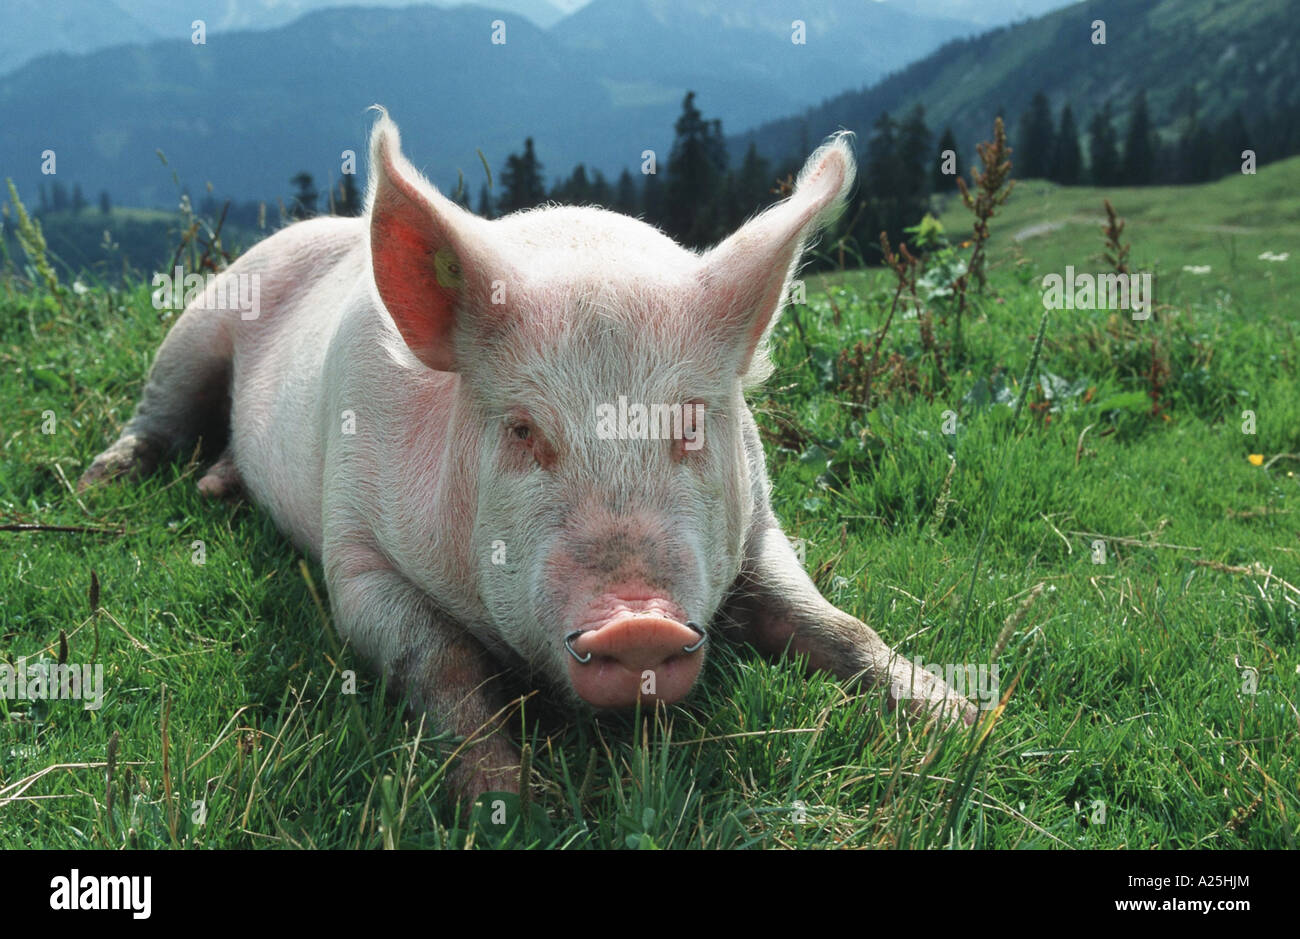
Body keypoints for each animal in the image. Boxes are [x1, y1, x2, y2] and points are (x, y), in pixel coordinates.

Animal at [80, 109, 977, 799]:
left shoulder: (759, 523)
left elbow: (839, 623)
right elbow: (442, 665)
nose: (637, 620)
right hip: (195, 326)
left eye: (691, 421)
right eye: (520, 429)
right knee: (156, 413)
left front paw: (966, 715)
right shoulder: (354, 551)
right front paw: (504, 800)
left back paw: (212, 484)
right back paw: (104, 479)